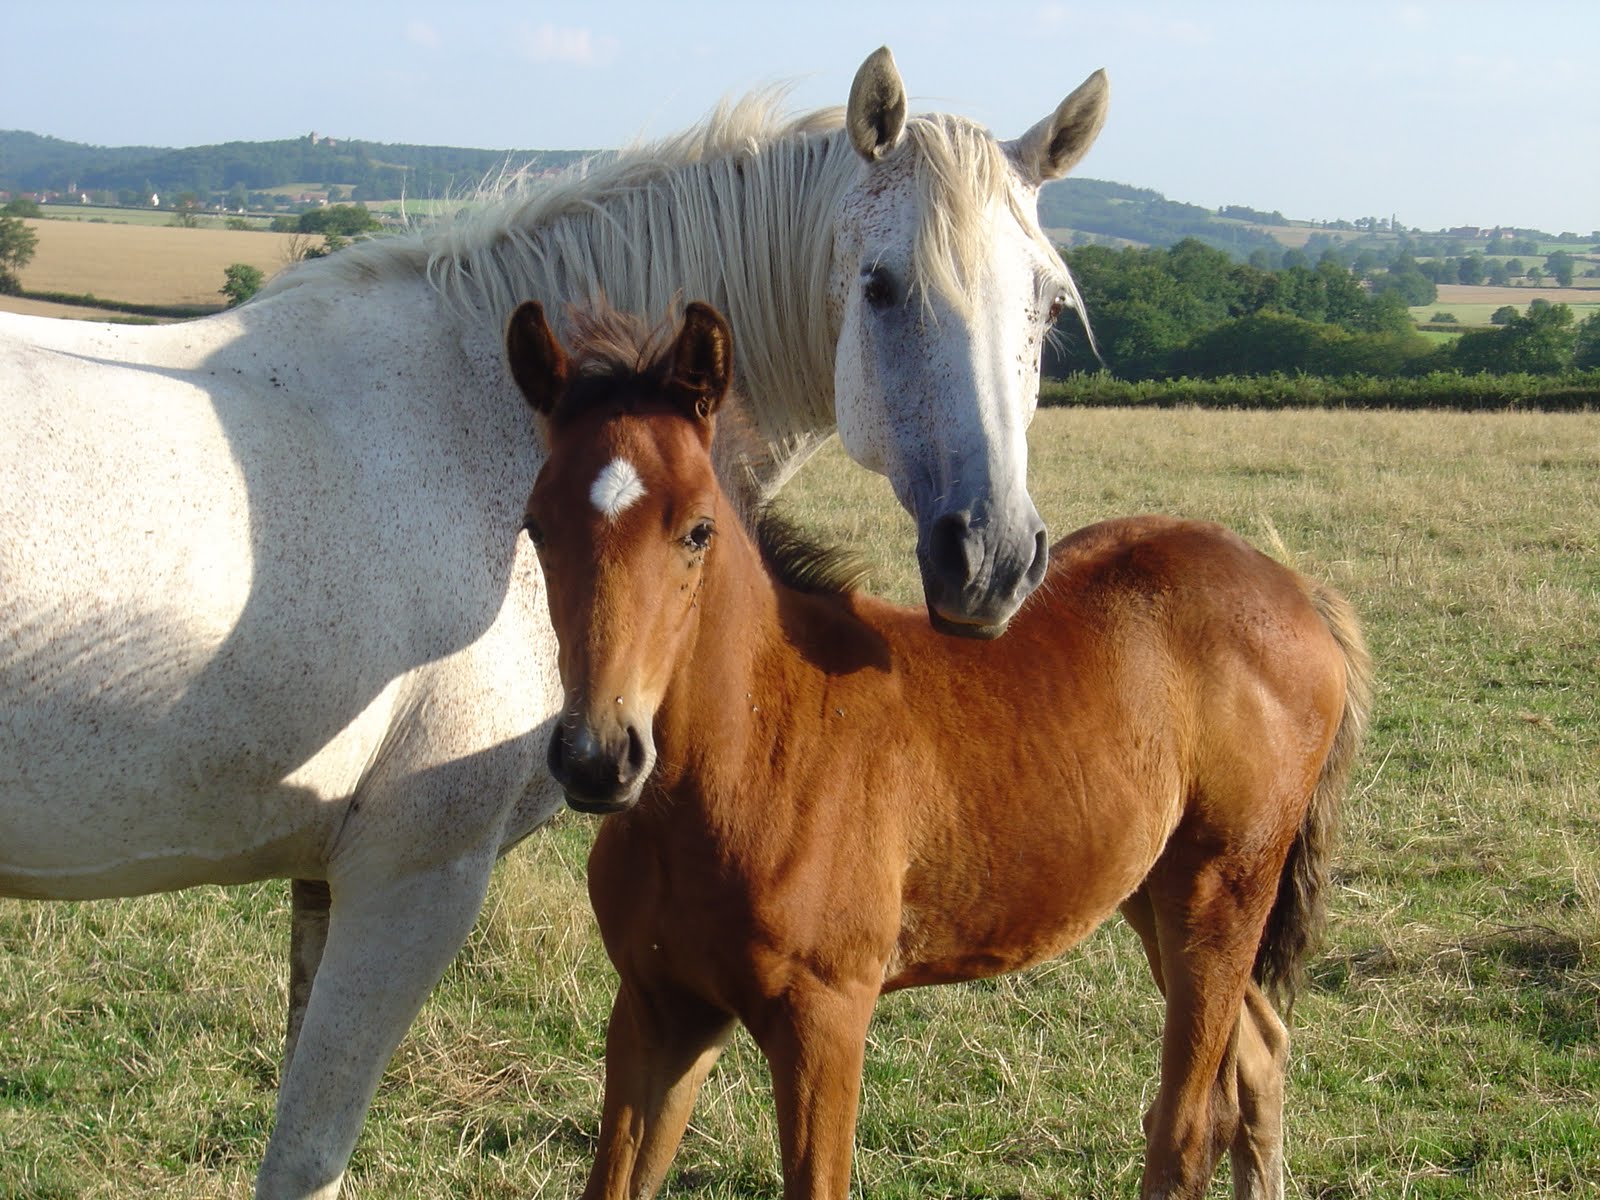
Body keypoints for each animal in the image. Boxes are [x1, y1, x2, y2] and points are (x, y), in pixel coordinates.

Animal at [0, 47, 1110, 1199]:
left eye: (1048, 305)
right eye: (883, 286)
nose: (992, 558)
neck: (480, 414)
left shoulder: (324, 882)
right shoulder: (413, 879)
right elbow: (309, 1155)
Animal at [505, 299, 1373, 1200]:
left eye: (698, 531)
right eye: (536, 527)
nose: (598, 757)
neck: (746, 755)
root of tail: (1295, 588)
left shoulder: (825, 1016)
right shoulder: (660, 1010)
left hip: (1222, 891)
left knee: (1189, 1123)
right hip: (1153, 889)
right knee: (1260, 1051)